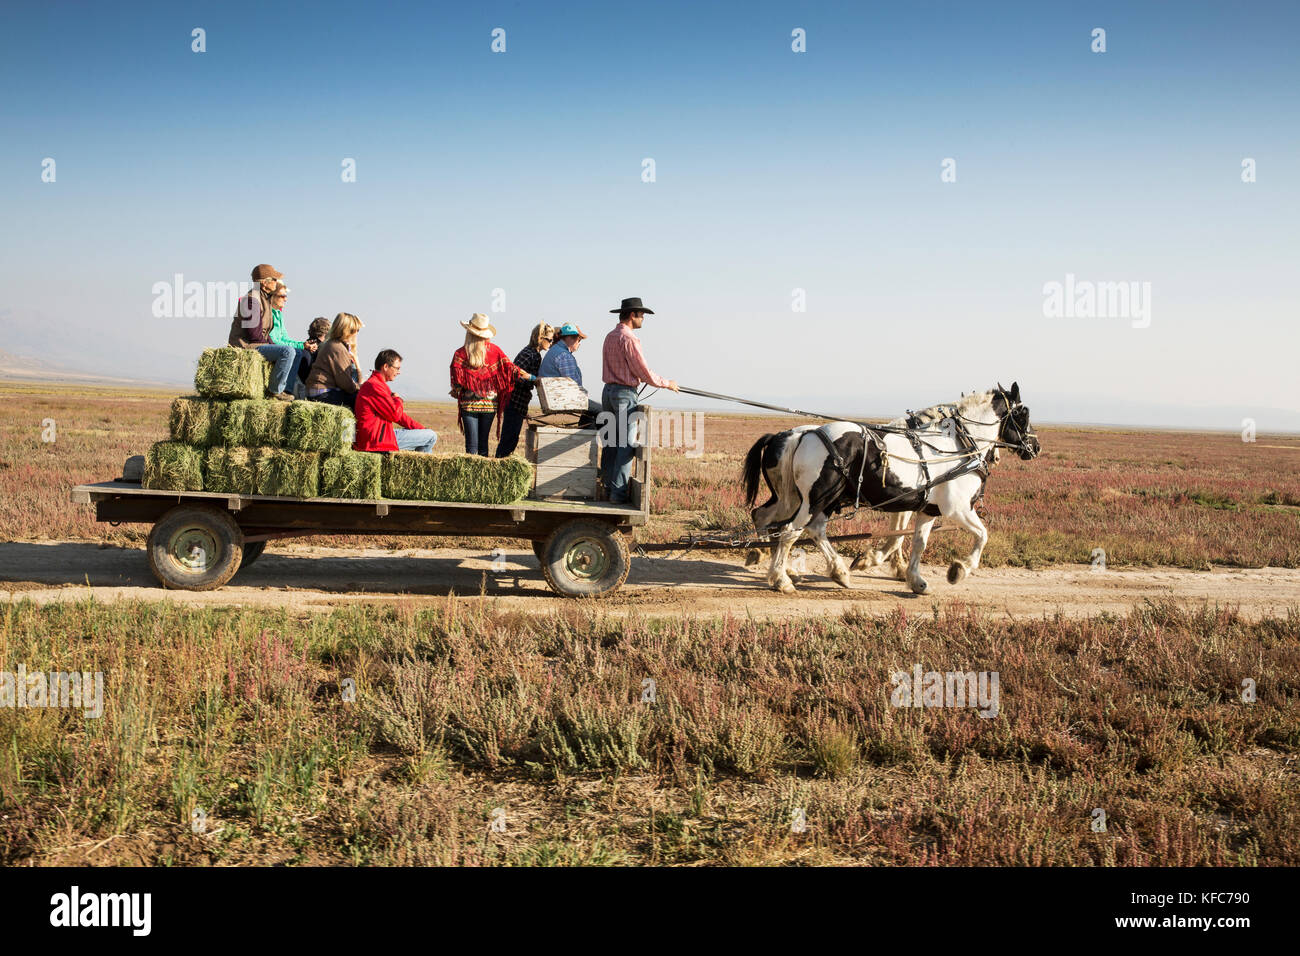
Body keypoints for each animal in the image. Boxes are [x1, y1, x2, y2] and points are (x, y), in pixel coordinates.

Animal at [741, 383, 1040, 595]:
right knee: (789, 531)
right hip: (814, 499)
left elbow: (917, 542)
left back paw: (833, 572)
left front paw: (914, 579)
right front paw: (958, 569)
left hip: (814, 500)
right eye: (1023, 414)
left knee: (792, 524)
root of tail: (805, 435)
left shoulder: (926, 508)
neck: (956, 446)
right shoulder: (956, 509)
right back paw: (781, 578)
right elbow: (982, 535)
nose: (1035, 447)